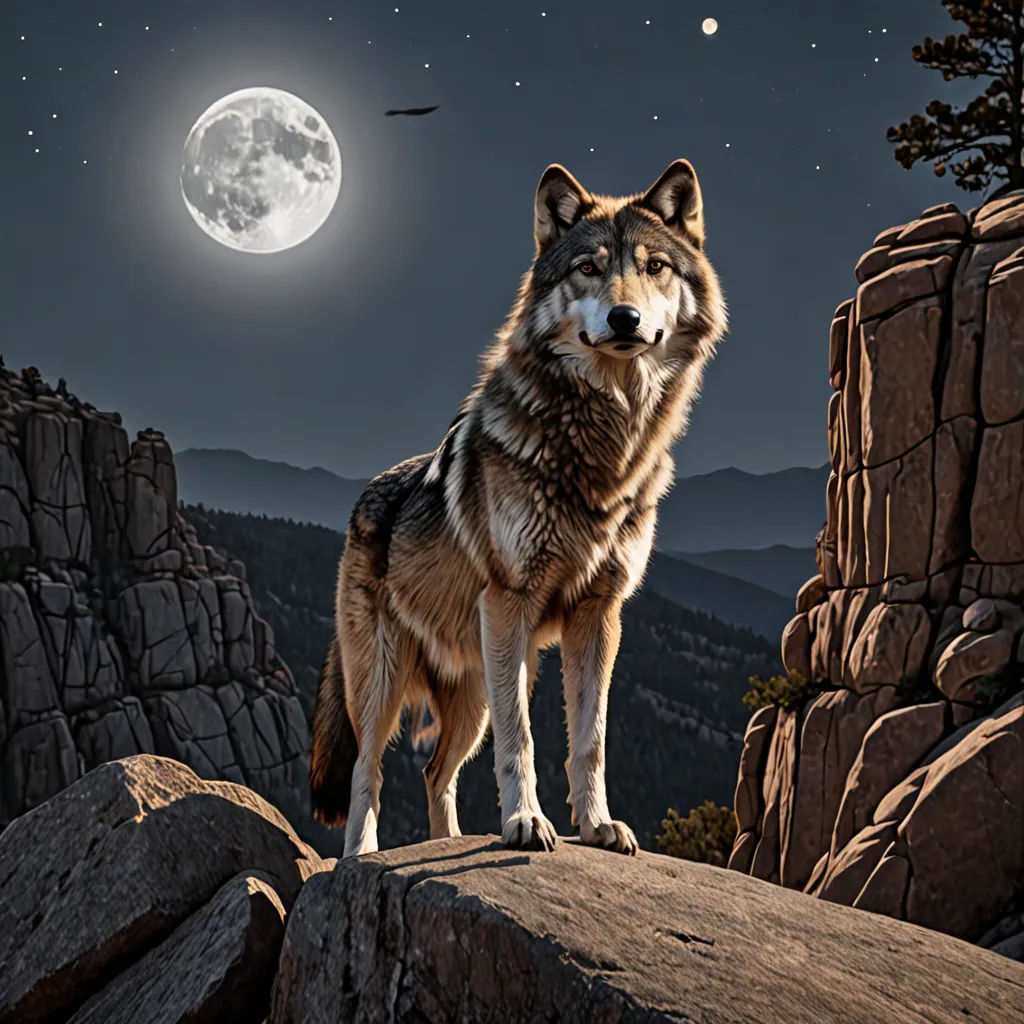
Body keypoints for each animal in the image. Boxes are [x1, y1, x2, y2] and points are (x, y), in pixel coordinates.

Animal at [310, 157, 727, 859]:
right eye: (587, 267)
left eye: (653, 267)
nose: (624, 318)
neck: (601, 445)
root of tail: (364, 497)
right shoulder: (511, 602)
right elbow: (524, 739)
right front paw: (527, 822)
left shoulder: (600, 614)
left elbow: (590, 740)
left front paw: (598, 825)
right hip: (391, 680)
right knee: (369, 771)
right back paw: (361, 858)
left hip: (478, 686)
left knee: (435, 770)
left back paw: (448, 841)